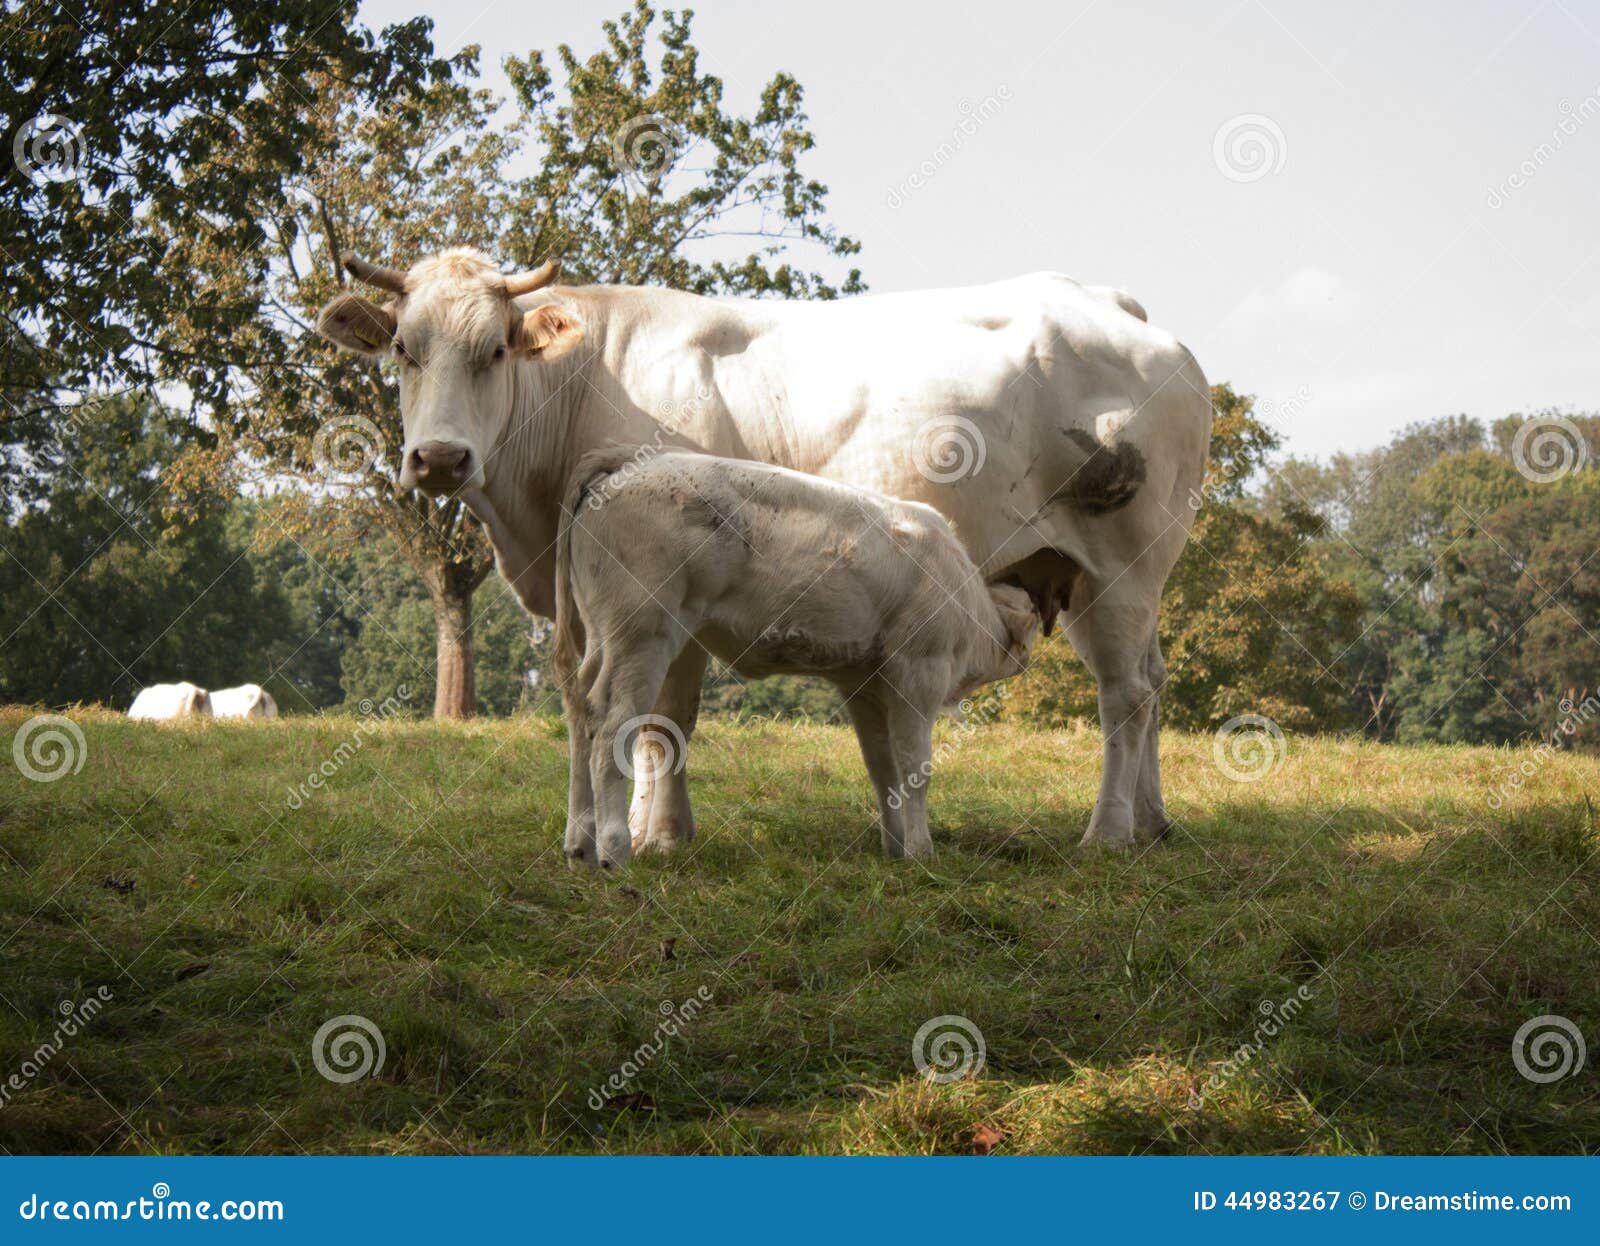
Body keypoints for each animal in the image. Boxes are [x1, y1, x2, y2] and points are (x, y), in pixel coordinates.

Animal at [555, 448, 1040, 866]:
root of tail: (630, 463)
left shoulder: (864, 685)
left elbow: (882, 767)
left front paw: (895, 848)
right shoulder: (920, 670)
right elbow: (913, 765)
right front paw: (921, 852)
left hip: (603, 635)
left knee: (581, 713)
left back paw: (580, 845)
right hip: (643, 633)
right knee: (613, 721)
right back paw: (614, 849)